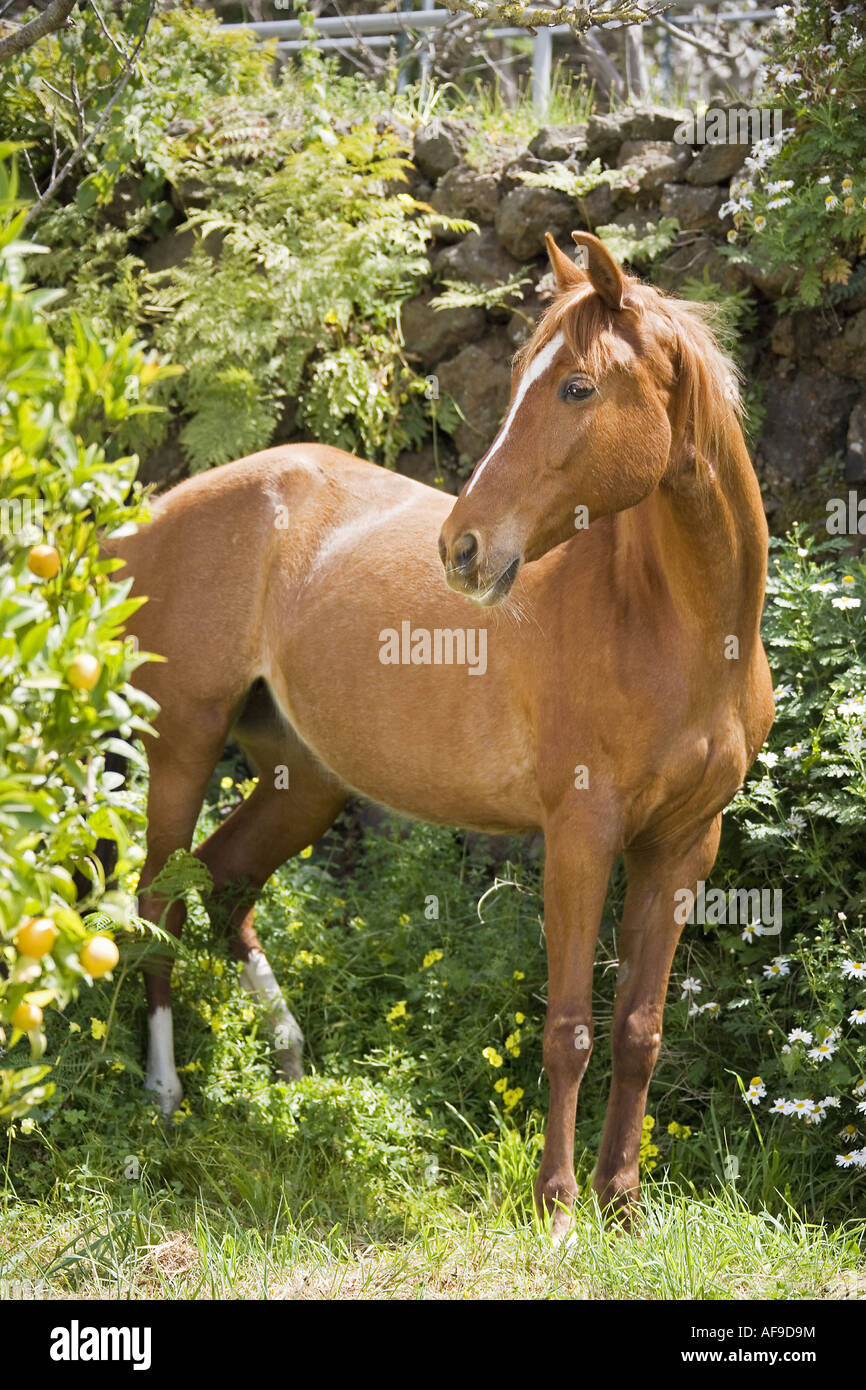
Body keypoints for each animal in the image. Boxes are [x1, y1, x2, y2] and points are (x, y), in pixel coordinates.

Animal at [105, 231, 774, 1240]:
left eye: (577, 386)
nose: (463, 548)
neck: (675, 629)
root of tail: (154, 514)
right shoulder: (580, 838)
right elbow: (570, 1028)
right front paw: (558, 1208)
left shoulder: (684, 846)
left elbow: (639, 1030)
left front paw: (622, 1205)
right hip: (181, 748)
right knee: (158, 902)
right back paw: (163, 1094)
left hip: (305, 782)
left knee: (225, 888)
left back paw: (291, 1066)